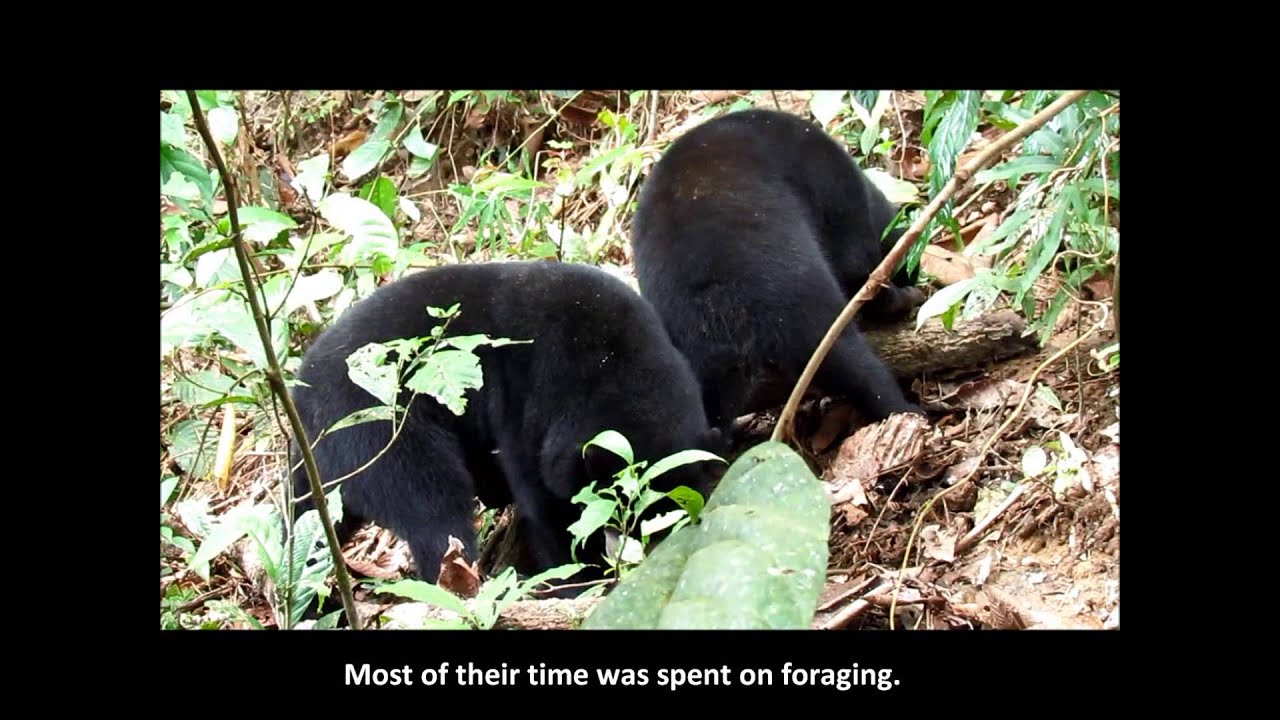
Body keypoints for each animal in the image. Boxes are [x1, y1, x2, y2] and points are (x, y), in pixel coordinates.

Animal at [287, 261, 726, 598]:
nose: (629, 556)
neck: (612, 361)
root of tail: (302, 401)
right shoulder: (530, 398)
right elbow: (543, 497)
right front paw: (575, 577)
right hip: (376, 427)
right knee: (432, 509)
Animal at [630, 107, 925, 435]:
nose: (914, 274)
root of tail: (718, 299)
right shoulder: (831, 184)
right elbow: (855, 261)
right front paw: (901, 296)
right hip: (790, 288)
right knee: (840, 354)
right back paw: (904, 407)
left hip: (698, 347)